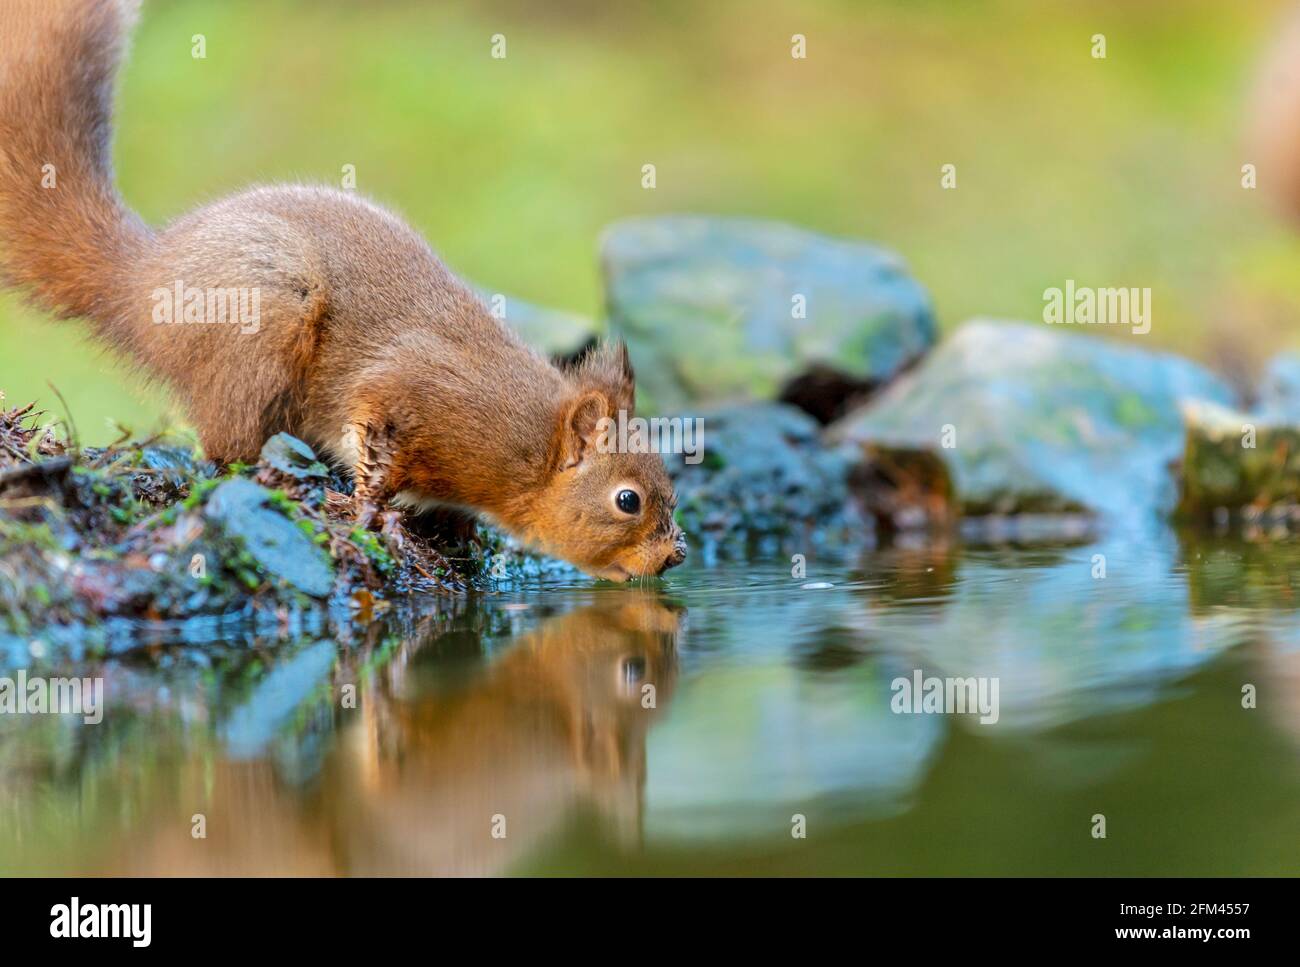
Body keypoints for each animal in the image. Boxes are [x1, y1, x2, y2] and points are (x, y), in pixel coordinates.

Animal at [0, 0, 686, 581]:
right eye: (628, 500)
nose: (674, 557)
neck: (530, 446)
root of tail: (142, 280)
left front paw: (460, 531)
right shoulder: (413, 394)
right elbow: (377, 450)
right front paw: (370, 511)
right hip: (262, 323)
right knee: (223, 446)